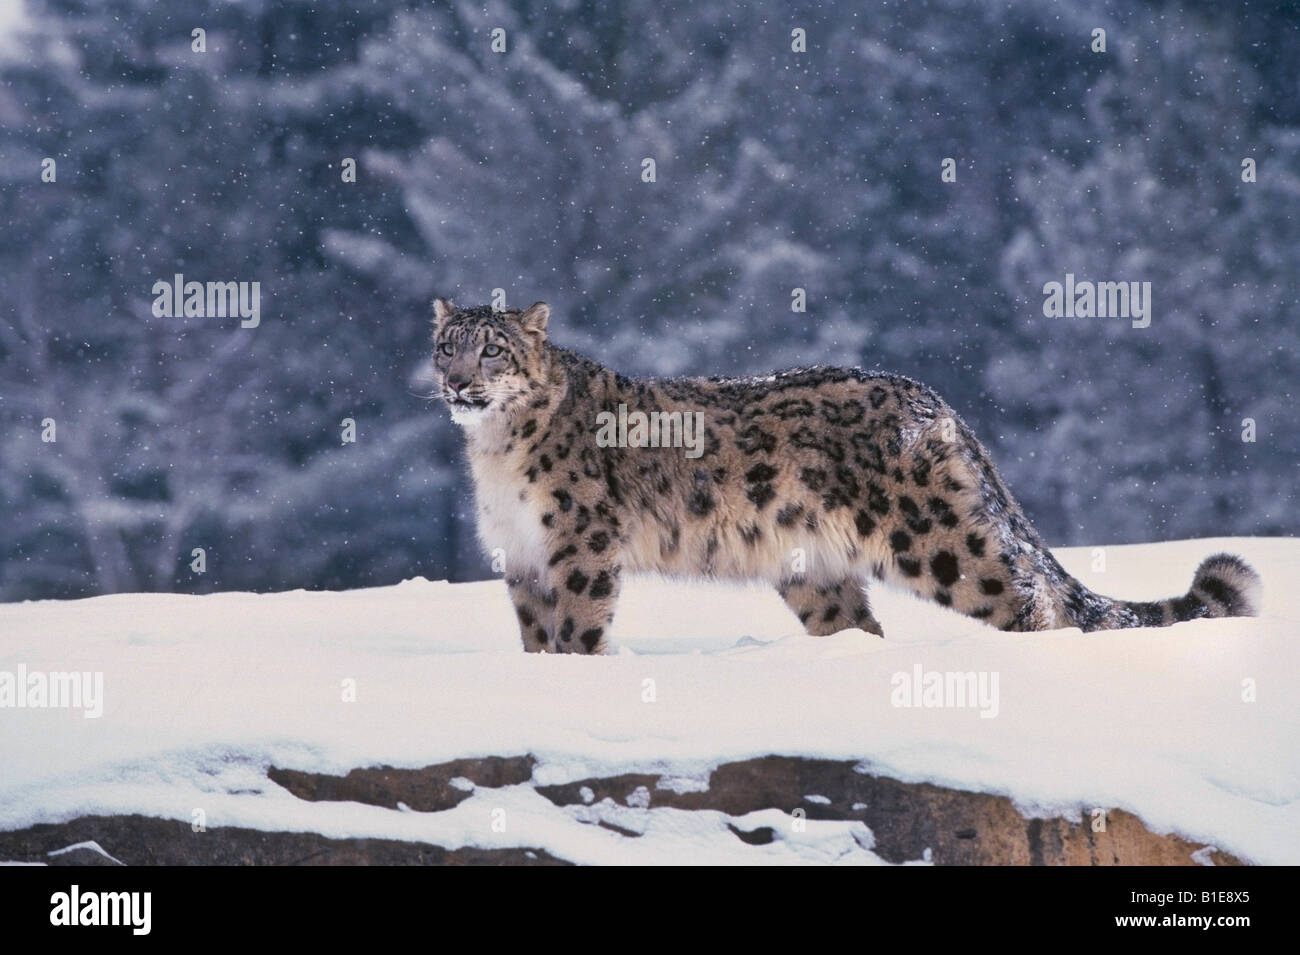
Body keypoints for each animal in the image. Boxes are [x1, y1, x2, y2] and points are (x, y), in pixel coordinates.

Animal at [431, 298, 1262, 654]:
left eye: (494, 349)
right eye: (447, 344)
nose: (457, 382)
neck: (495, 452)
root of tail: (937, 402)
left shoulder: (579, 544)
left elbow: (578, 625)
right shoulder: (522, 557)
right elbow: (535, 634)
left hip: (944, 544)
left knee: (1033, 598)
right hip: (815, 572)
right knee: (860, 624)